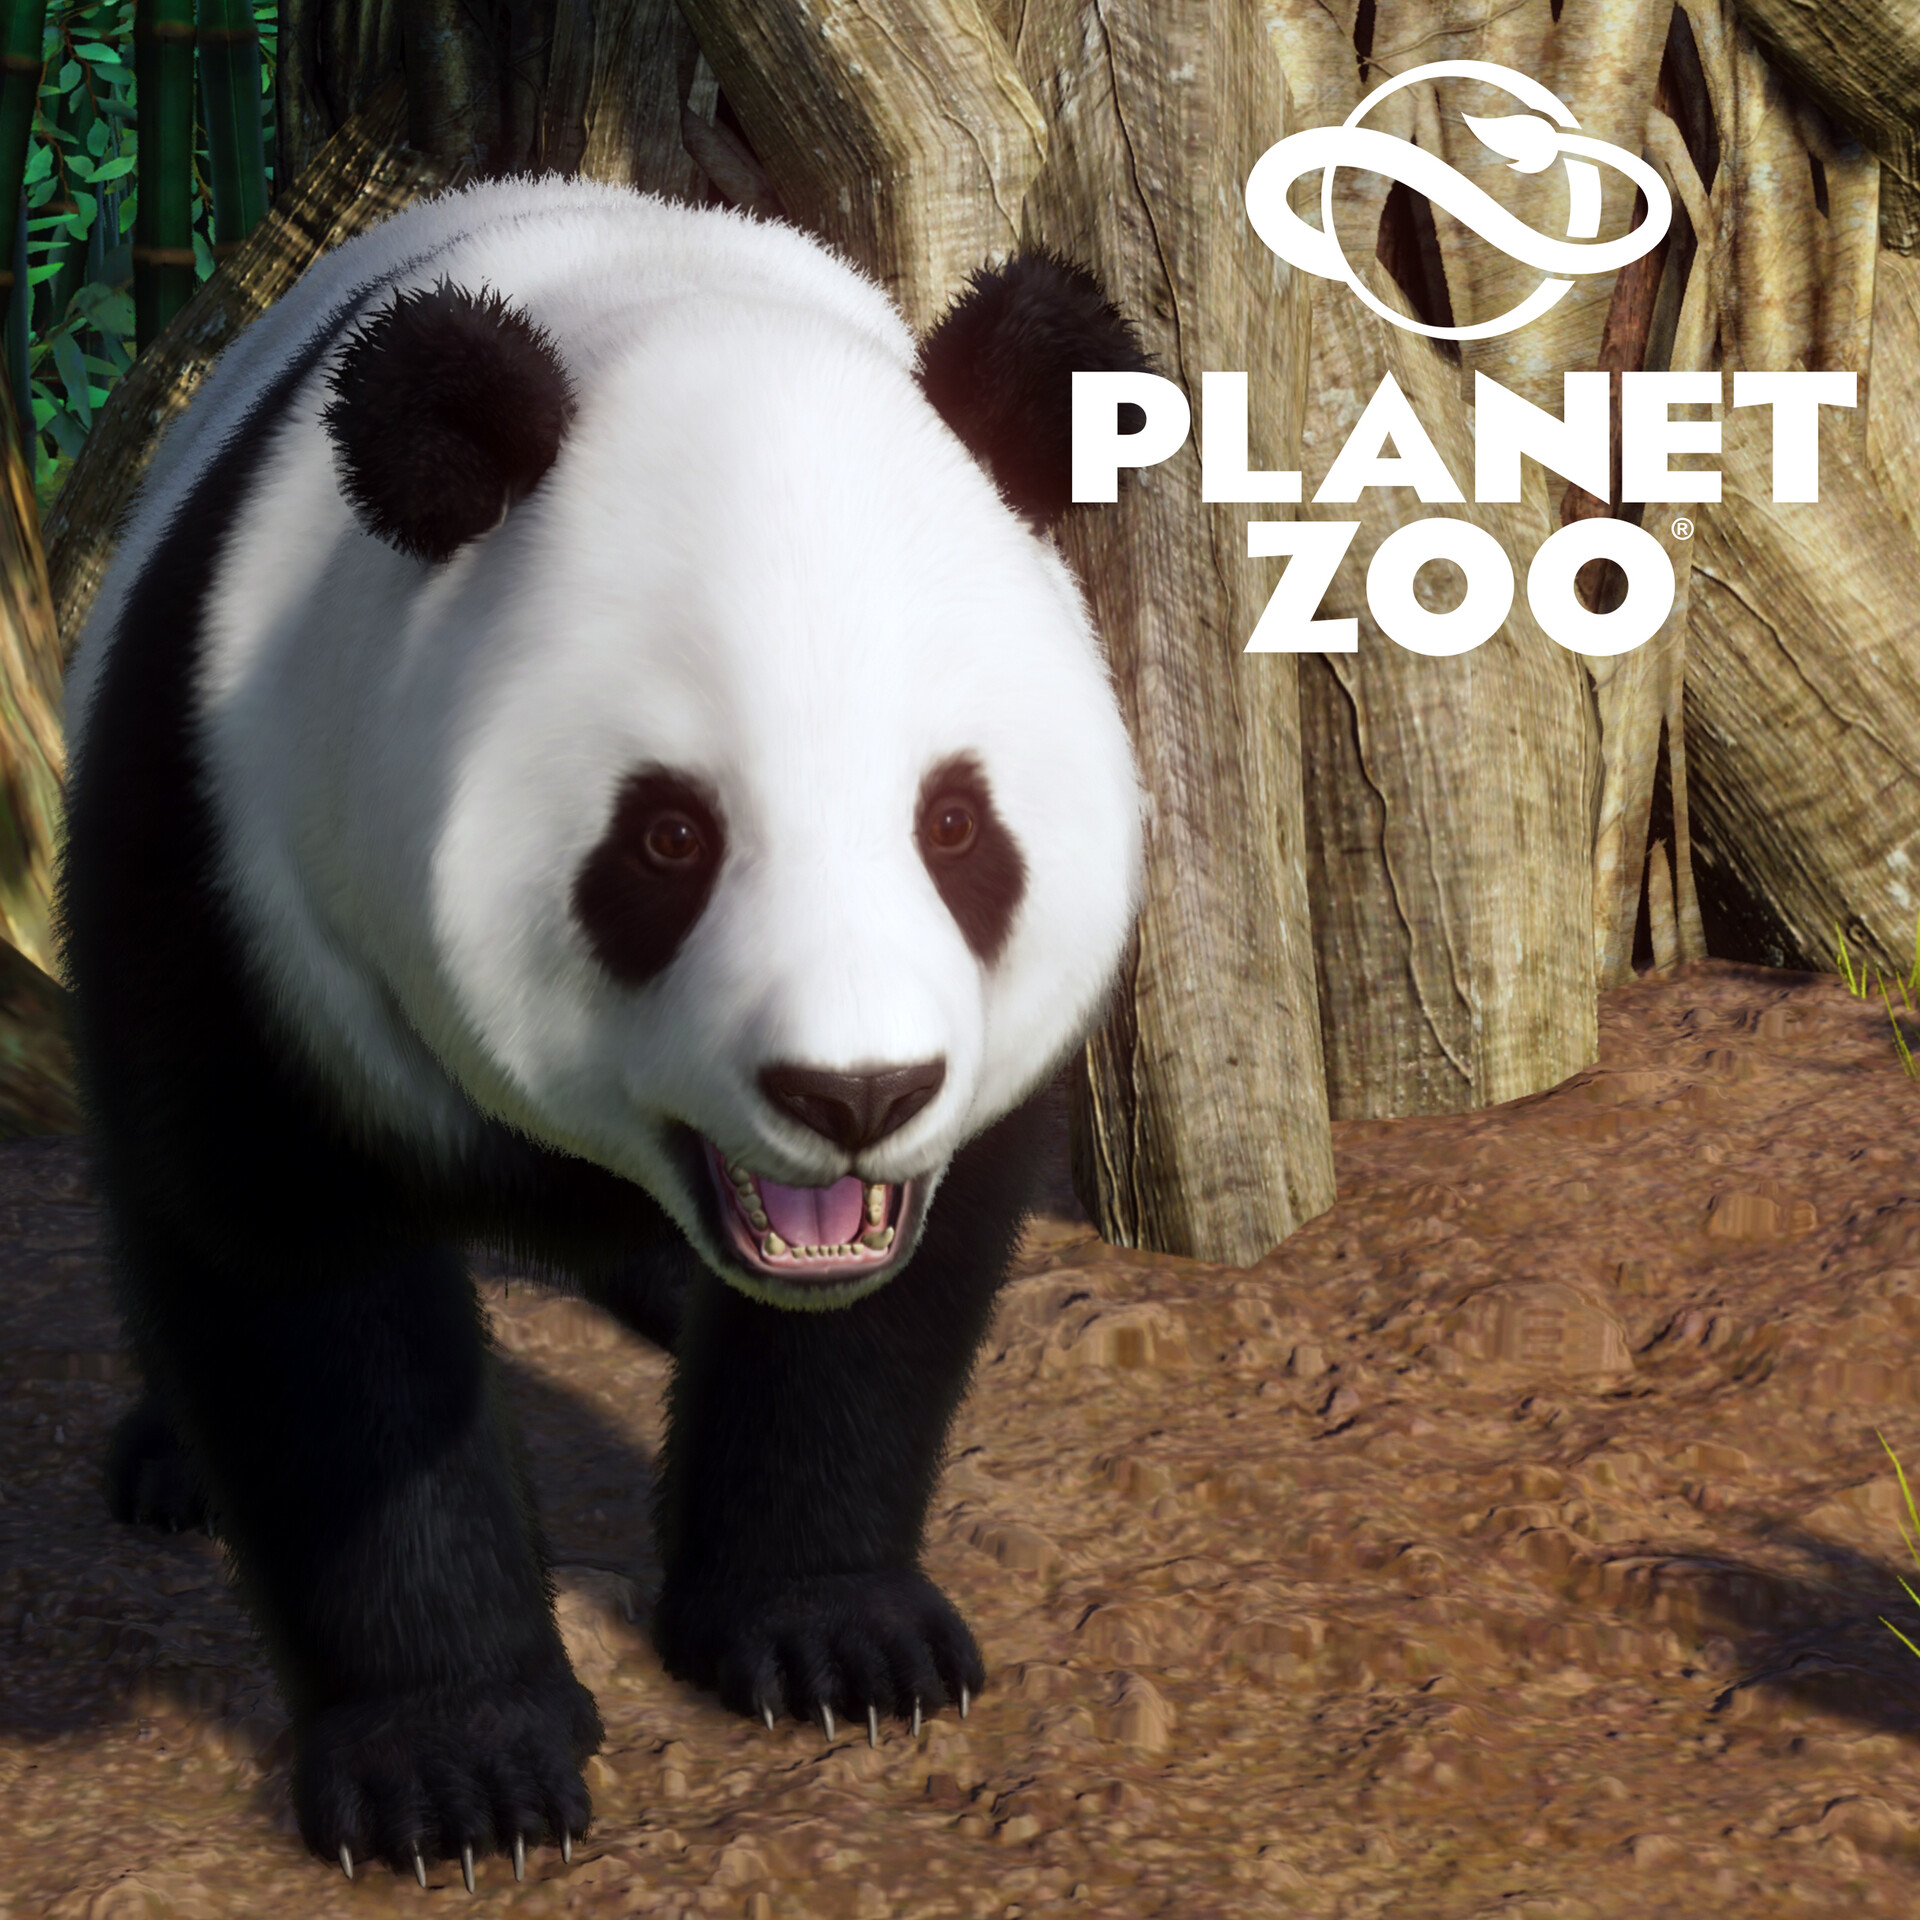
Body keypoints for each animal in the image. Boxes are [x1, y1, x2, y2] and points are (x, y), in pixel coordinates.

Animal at [59, 178, 1146, 1883]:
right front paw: (456, 1773)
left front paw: (835, 1639)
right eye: (668, 840)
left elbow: (889, 1307)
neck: (661, 299)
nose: (854, 1094)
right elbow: (305, 1296)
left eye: (958, 824)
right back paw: (172, 1465)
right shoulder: (247, 861)